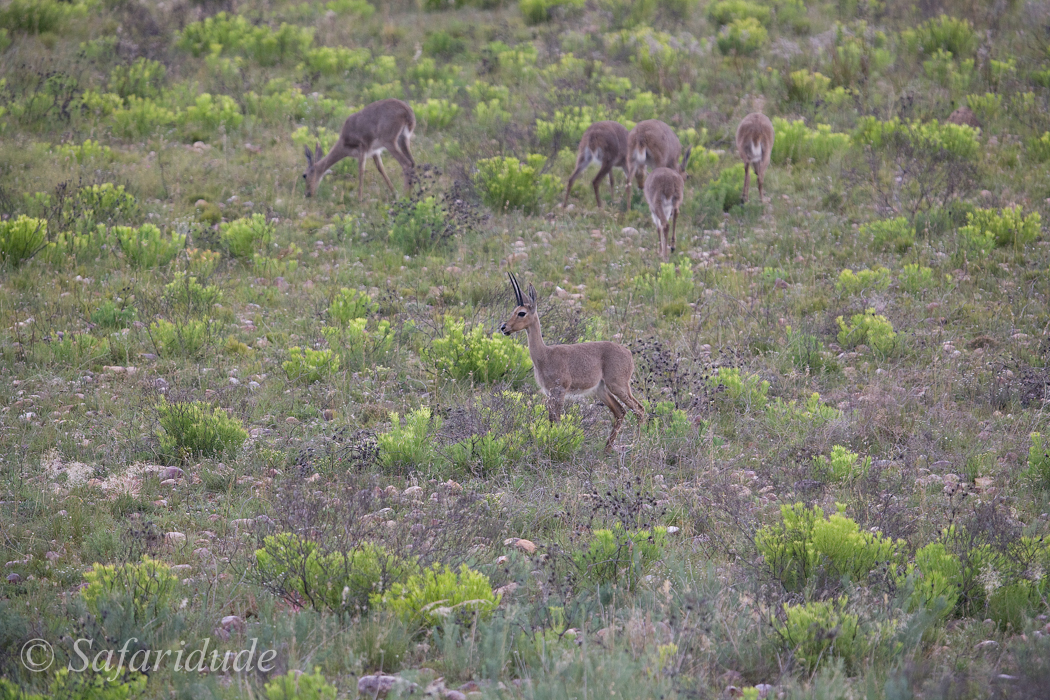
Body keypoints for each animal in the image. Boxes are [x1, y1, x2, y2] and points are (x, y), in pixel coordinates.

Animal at [499, 273, 645, 450]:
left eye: (521, 313)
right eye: (514, 311)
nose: (504, 327)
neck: (545, 355)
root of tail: (628, 353)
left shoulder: (560, 391)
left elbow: (556, 420)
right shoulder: (549, 393)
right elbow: (551, 420)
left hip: (618, 386)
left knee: (639, 409)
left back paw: (636, 445)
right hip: (601, 390)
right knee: (620, 412)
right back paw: (607, 449)